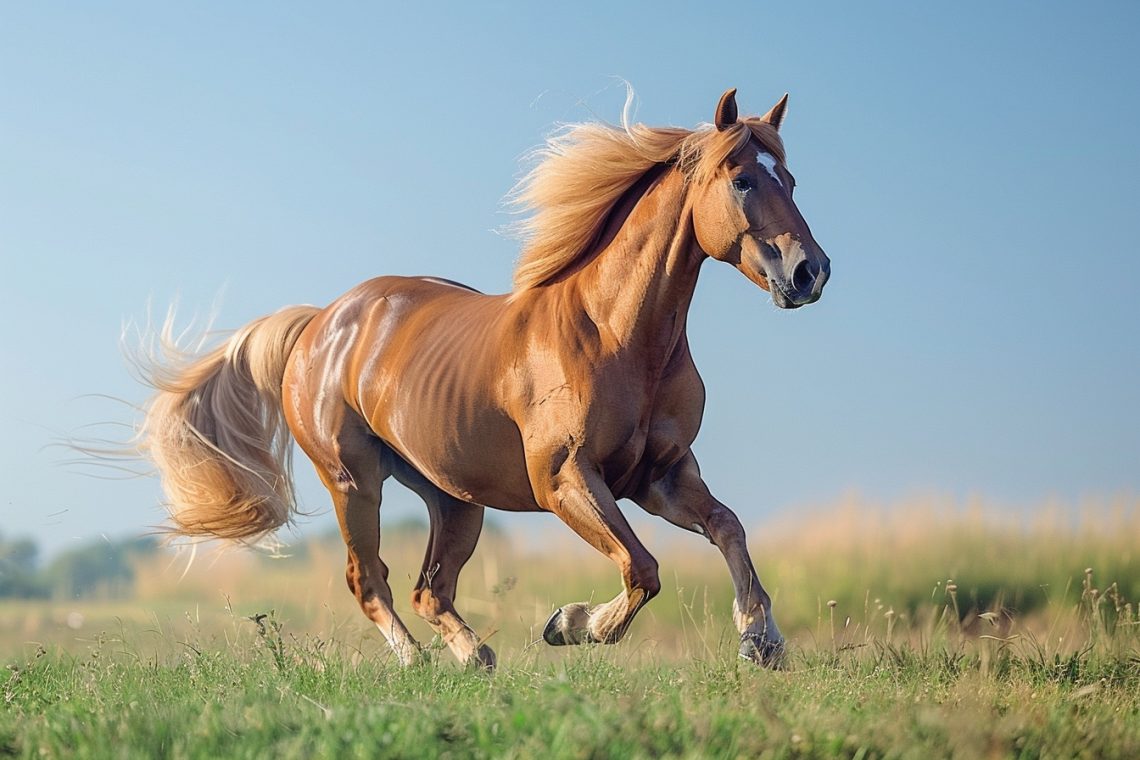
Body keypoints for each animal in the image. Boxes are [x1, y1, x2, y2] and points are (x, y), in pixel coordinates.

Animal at [140, 88, 830, 669]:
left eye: (792, 179)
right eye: (742, 180)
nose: (810, 273)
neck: (616, 336)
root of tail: (320, 322)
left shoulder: (659, 475)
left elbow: (727, 527)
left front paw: (761, 640)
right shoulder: (566, 479)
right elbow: (642, 568)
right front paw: (571, 624)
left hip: (454, 498)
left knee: (430, 590)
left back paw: (475, 657)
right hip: (354, 480)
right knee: (370, 581)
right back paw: (417, 662)